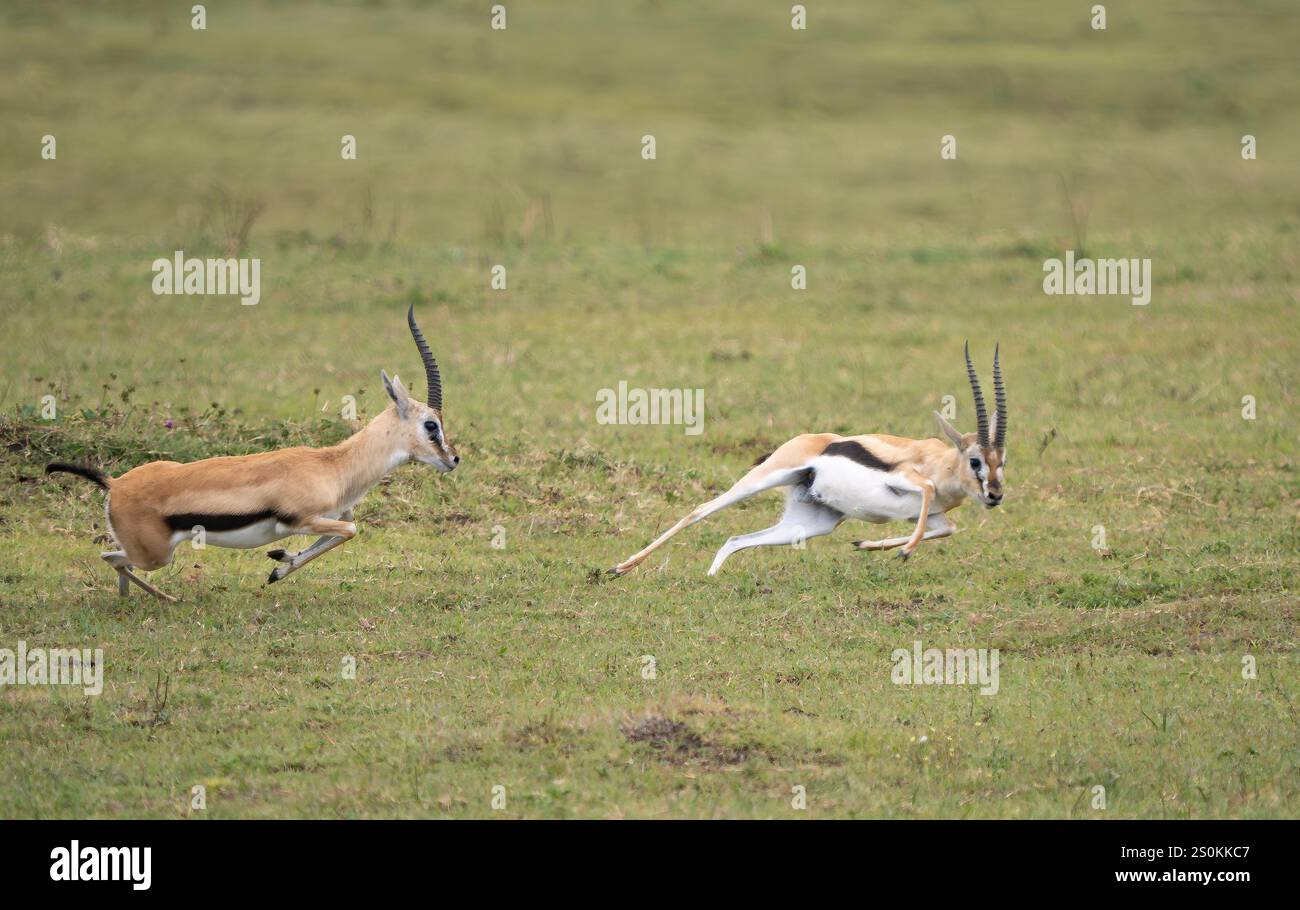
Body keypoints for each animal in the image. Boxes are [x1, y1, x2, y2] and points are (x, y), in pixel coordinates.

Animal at [46, 306, 459, 602]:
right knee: (112, 560)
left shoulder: (330, 517)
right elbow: (350, 531)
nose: (453, 459)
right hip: (156, 555)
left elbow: (342, 531)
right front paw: (278, 564)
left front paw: (278, 565)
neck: (334, 465)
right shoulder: (302, 519)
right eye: (430, 425)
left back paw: (136, 600)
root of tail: (114, 483)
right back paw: (167, 599)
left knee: (117, 563)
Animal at [610, 344, 1006, 577]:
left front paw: (867, 545)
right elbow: (925, 493)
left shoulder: (933, 516)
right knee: (700, 511)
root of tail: (810, 439)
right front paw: (905, 552)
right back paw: (620, 568)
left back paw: (711, 576)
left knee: (736, 539)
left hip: (812, 523)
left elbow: (945, 528)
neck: (942, 465)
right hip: (764, 478)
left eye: (1002, 461)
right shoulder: (908, 478)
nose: (995, 494)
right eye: (975, 461)